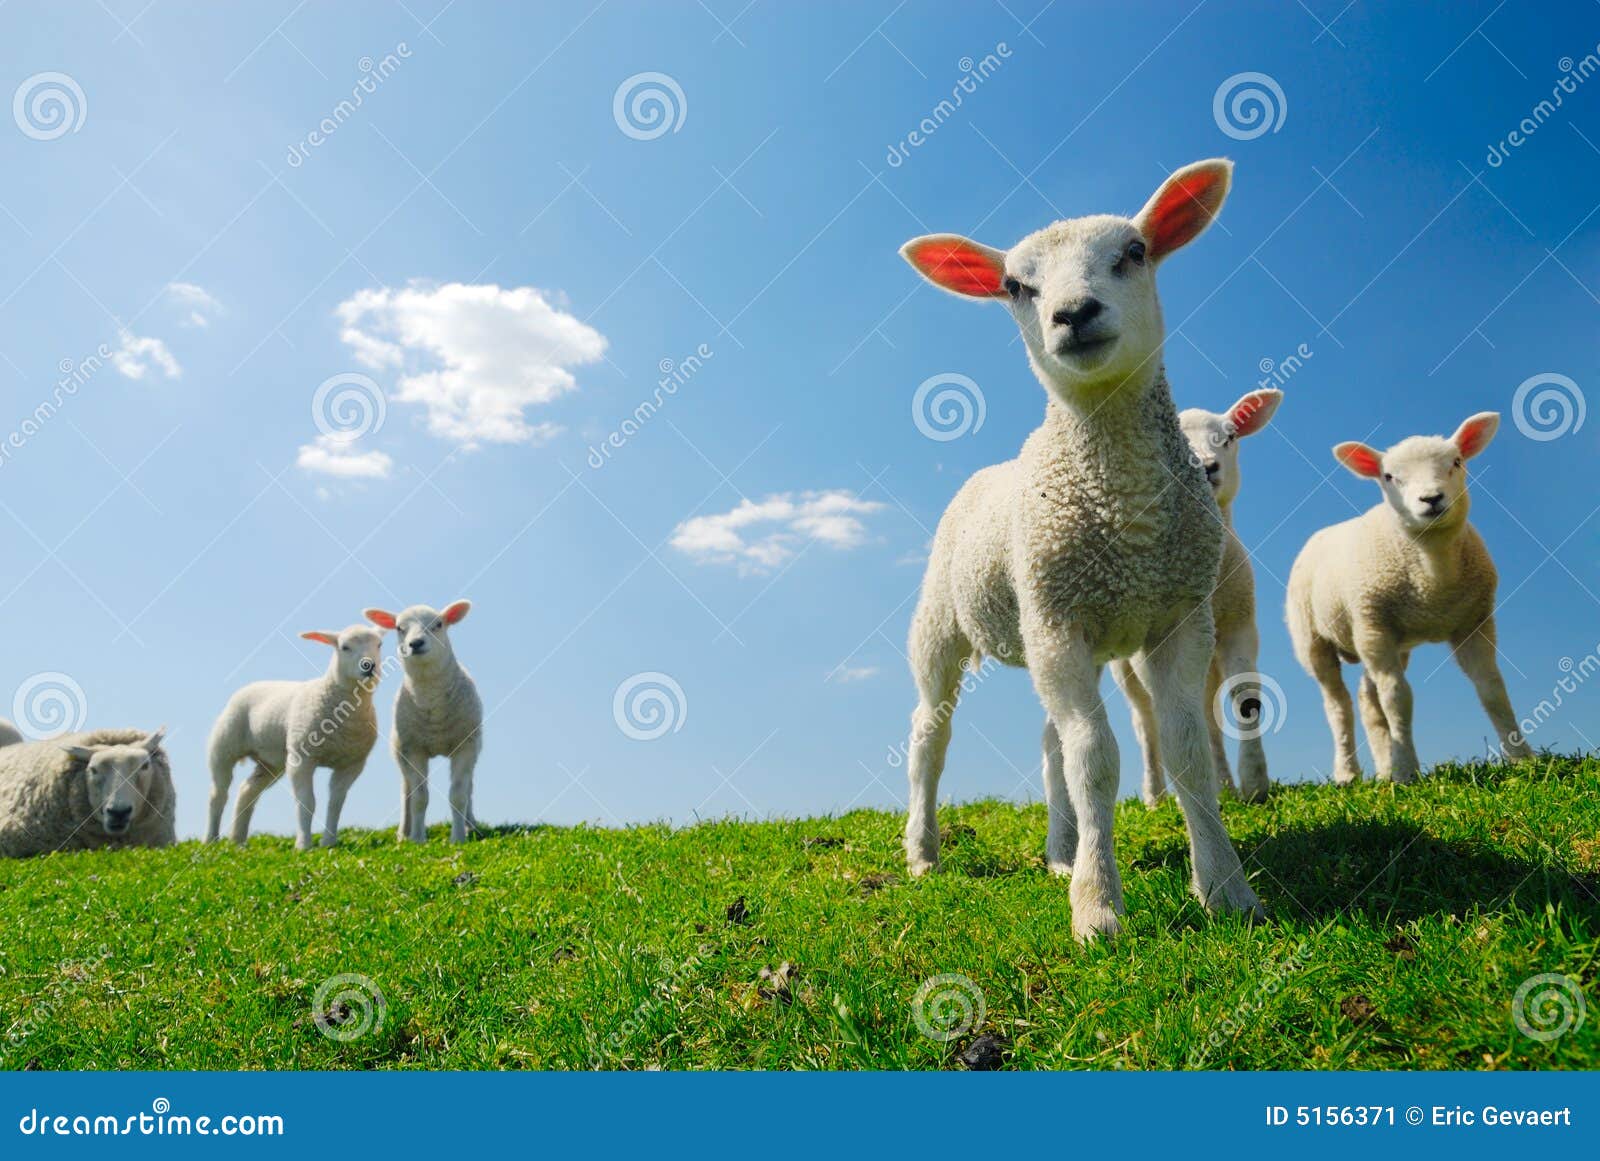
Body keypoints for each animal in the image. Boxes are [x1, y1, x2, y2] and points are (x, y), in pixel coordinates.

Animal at [206, 625, 384, 850]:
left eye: (379, 645)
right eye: (345, 647)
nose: (369, 666)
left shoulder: (352, 764)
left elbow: (336, 803)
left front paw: (328, 843)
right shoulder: (302, 759)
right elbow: (307, 802)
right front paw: (303, 845)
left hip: (271, 762)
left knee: (247, 790)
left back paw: (238, 840)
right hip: (224, 747)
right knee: (218, 795)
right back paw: (211, 840)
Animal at [362, 601, 482, 844]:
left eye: (438, 624)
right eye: (399, 628)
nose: (415, 643)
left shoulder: (465, 745)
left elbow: (458, 794)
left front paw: (458, 838)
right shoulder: (413, 749)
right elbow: (419, 797)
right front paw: (418, 839)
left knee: (469, 788)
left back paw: (470, 825)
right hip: (400, 751)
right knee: (406, 790)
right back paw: (404, 833)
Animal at [898, 158, 1264, 940]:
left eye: (1135, 252)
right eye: (1015, 286)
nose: (1073, 313)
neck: (1125, 513)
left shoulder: (1178, 617)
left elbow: (1185, 749)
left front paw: (1225, 887)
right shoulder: (1060, 621)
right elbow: (1095, 759)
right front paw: (1098, 908)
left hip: (1063, 629)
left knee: (1050, 744)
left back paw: (1061, 851)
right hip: (950, 623)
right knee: (929, 737)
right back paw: (923, 851)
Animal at [1112, 389, 1282, 806]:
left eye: (1230, 437)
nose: (1206, 467)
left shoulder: (1240, 624)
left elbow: (1245, 696)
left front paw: (1254, 782)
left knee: (1205, 713)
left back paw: (1222, 784)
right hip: (1125, 667)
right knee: (1146, 721)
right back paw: (1156, 795)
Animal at [1287, 411, 1533, 783]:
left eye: (1456, 462)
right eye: (1389, 476)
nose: (1431, 499)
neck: (1433, 578)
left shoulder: (1474, 623)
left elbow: (1492, 688)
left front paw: (1524, 759)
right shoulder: (1375, 626)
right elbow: (1397, 698)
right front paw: (1406, 771)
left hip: (1382, 639)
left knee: (1367, 699)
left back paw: (1383, 768)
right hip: (1316, 638)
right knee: (1338, 705)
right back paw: (1348, 773)